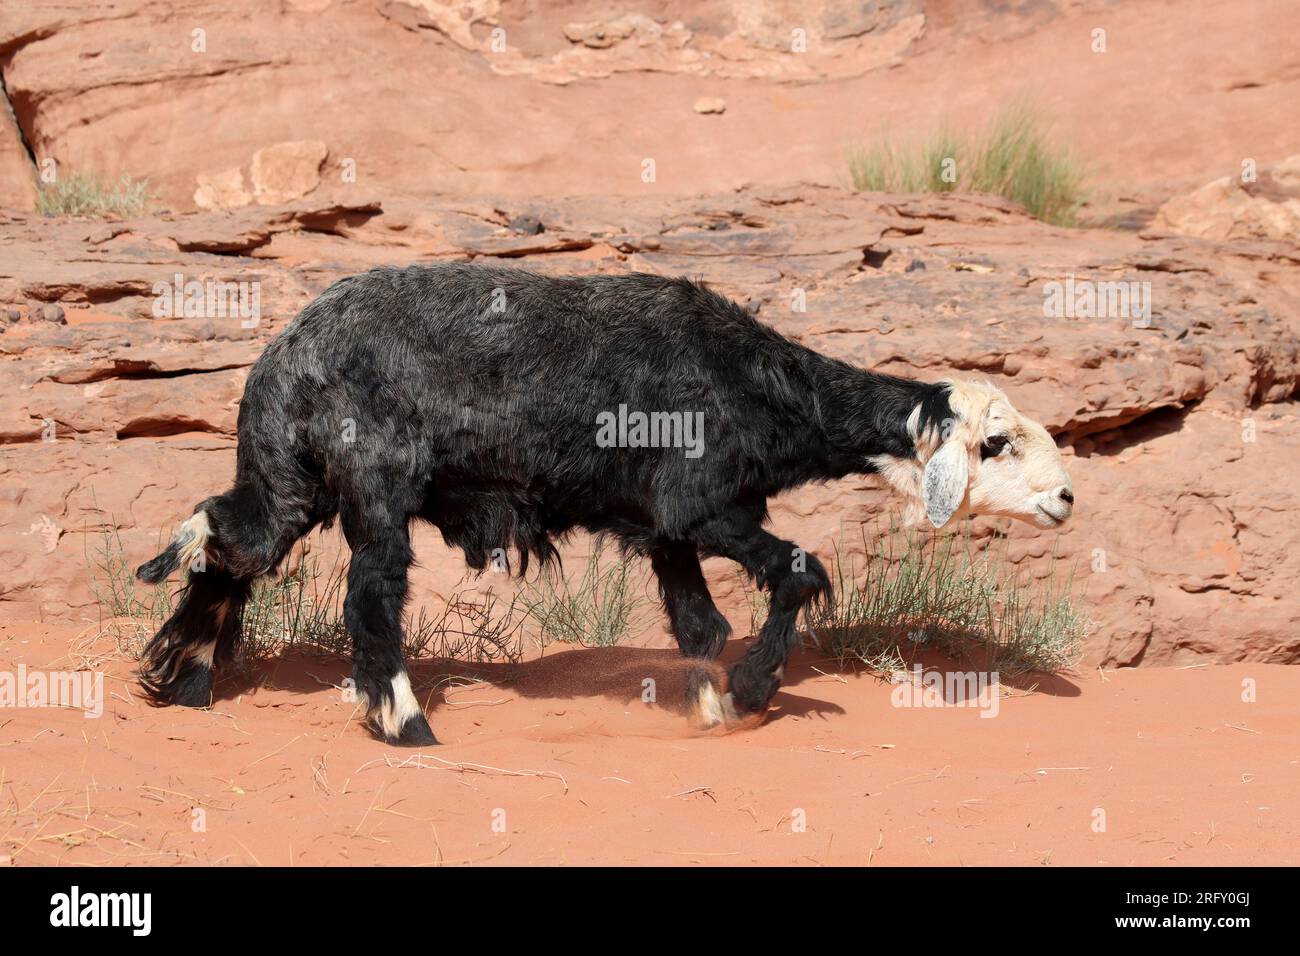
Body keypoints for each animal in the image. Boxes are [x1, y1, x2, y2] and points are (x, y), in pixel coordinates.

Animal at [136, 264, 1074, 744]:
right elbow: (800, 573)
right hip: (372, 481)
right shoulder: (702, 507)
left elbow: (700, 627)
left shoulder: (663, 530)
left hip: (292, 479)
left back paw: (188, 680)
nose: (1066, 495)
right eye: (997, 442)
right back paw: (405, 722)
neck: (764, 386)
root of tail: (280, 356)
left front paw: (710, 704)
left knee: (228, 539)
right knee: (369, 595)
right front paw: (754, 692)